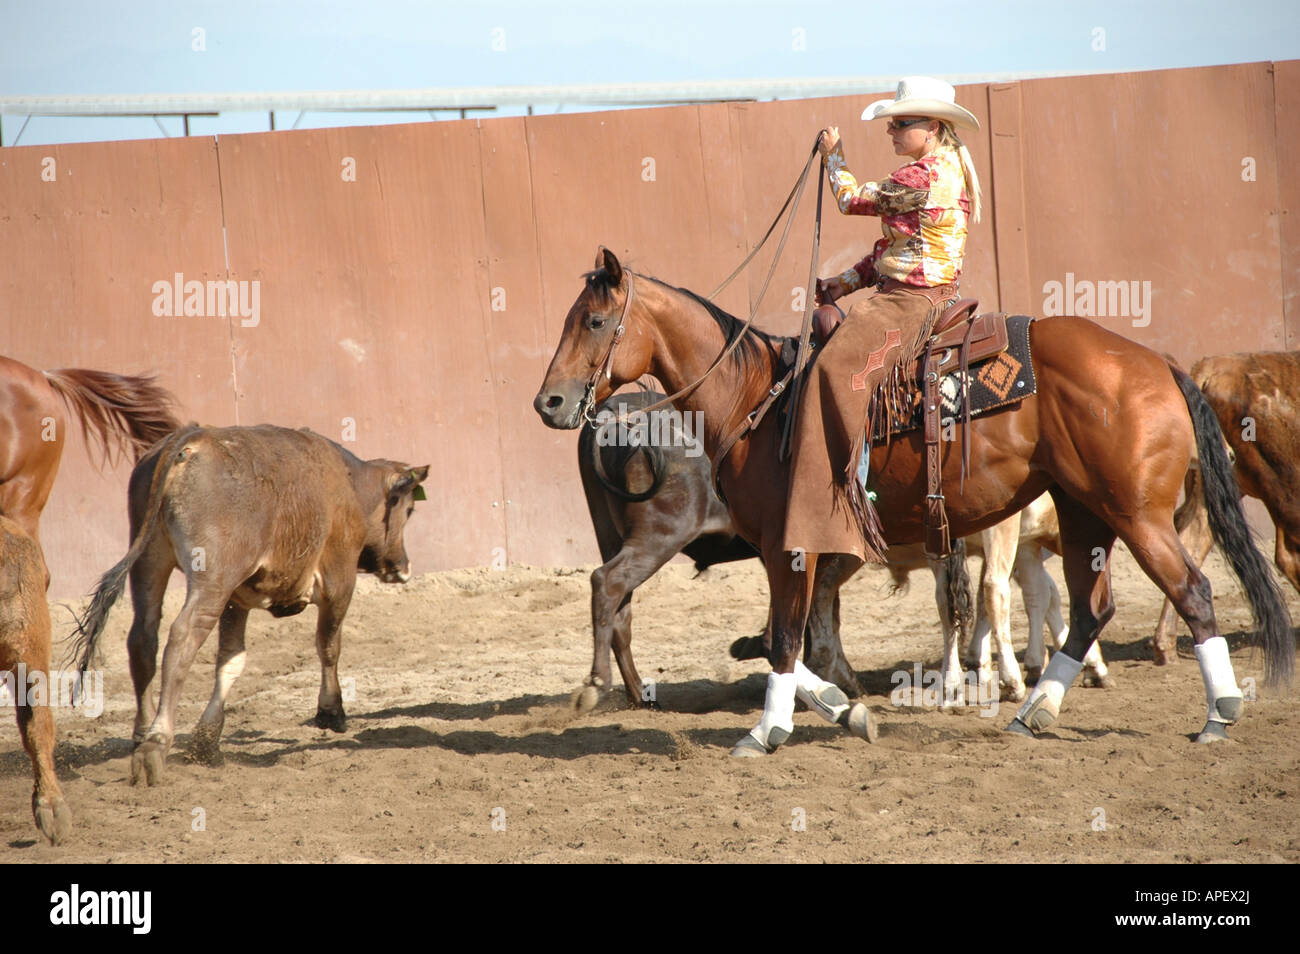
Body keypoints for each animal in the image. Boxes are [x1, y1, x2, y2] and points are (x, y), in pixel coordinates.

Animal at [535, 248, 1291, 756]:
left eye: (595, 320)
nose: (551, 402)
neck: (761, 403)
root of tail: (1158, 362)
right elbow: (797, 641)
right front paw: (845, 710)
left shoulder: (793, 547)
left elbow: (788, 639)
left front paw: (769, 728)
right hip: (1085, 515)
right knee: (1090, 609)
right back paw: (1035, 710)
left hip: (1134, 514)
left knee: (1191, 590)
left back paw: (1218, 712)